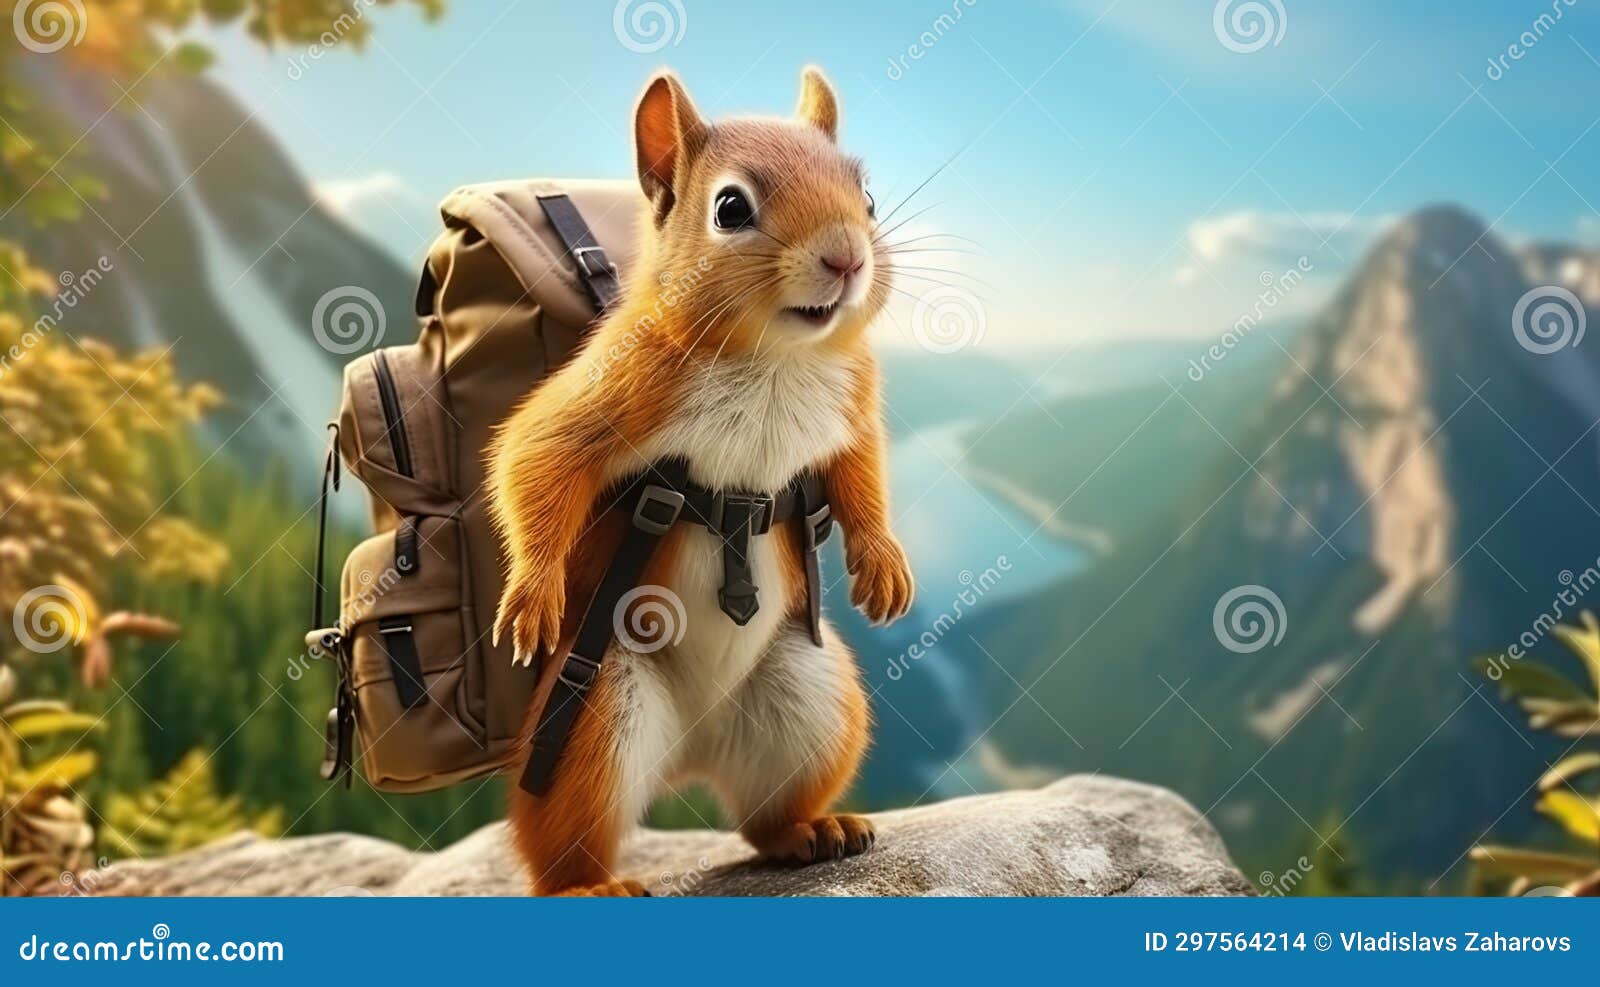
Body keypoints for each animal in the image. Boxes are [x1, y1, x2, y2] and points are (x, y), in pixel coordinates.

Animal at [487, 67, 914, 897]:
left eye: (869, 198)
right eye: (730, 208)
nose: (848, 258)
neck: (773, 356)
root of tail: (689, 753)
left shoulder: (852, 404)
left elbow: (861, 474)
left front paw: (884, 565)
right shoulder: (617, 383)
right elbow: (536, 455)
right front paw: (532, 593)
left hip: (815, 698)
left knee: (763, 817)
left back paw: (812, 829)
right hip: (593, 715)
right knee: (564, 834)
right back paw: (589, 883)